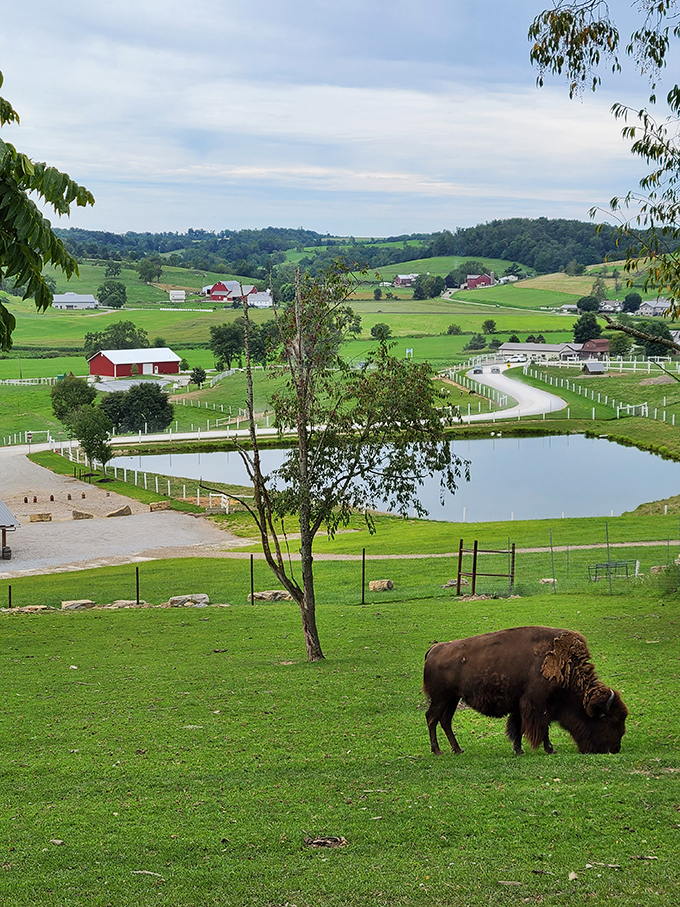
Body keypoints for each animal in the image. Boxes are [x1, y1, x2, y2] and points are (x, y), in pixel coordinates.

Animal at [423, 626, 628, 755]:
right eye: (611, 721)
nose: (615, 748)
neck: (565, 666)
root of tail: (433, 649)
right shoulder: (537, 704)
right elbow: (540, 728)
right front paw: (550, 749)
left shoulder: (524, 706)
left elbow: (519, 727)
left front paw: (518, 749)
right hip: (440, 698)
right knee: (432, 718)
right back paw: (437, 751)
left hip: (452, 699)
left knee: (445, 721)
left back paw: (458, 749)